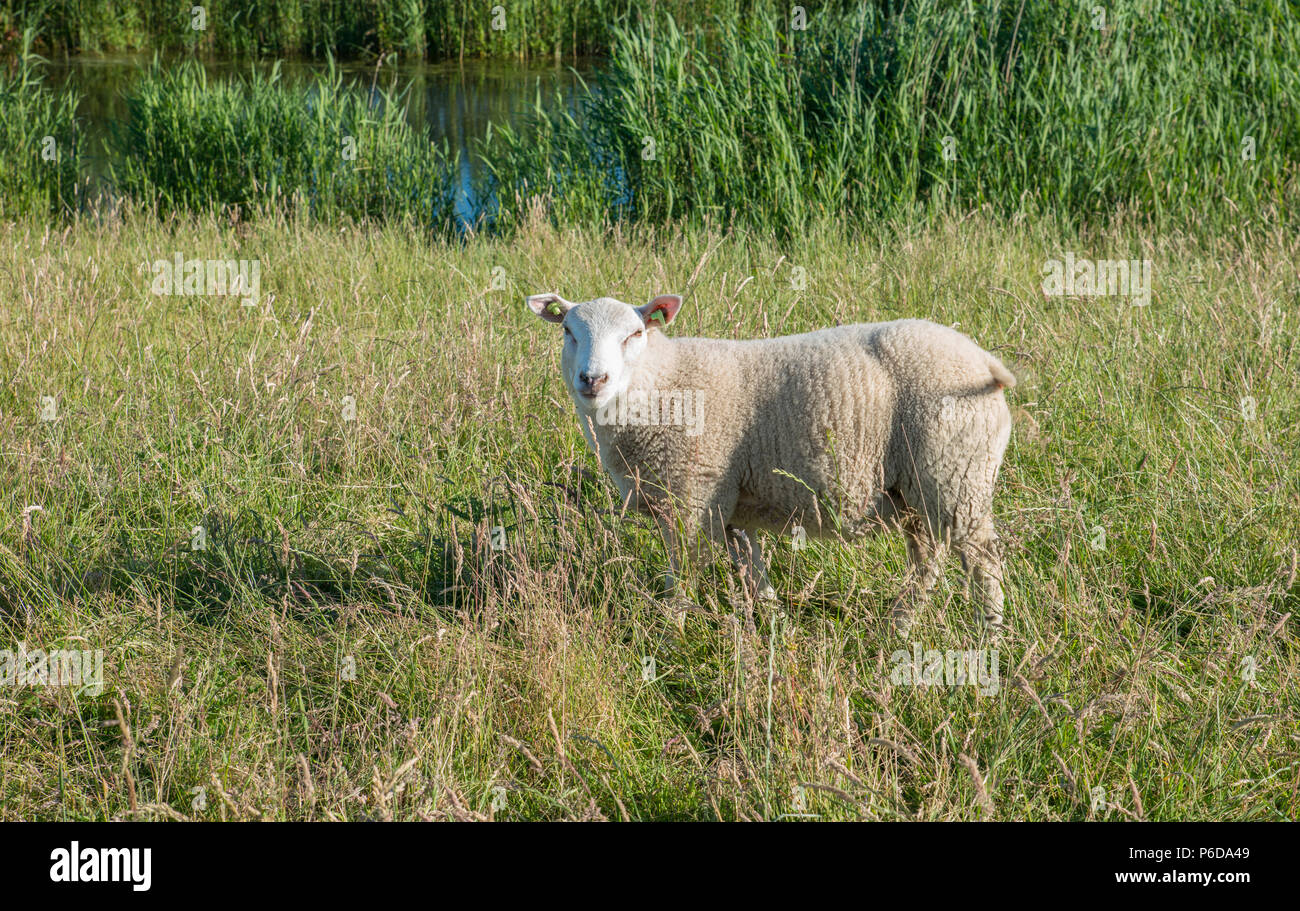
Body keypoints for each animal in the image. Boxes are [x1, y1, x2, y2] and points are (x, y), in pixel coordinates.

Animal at [526, 291, 1015, 636]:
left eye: (634, 334)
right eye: (568, 331)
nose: (593, 379)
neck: (661, 382)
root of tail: (983, 361)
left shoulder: (690, 498)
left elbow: (680, 578)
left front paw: (670, 637)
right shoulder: (729, 504)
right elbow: (752, 568)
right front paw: (775, 621)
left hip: (955, 474)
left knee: (984, 563)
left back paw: (989, 635)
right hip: (919, 488)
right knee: (928, 561)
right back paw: (899, 626)